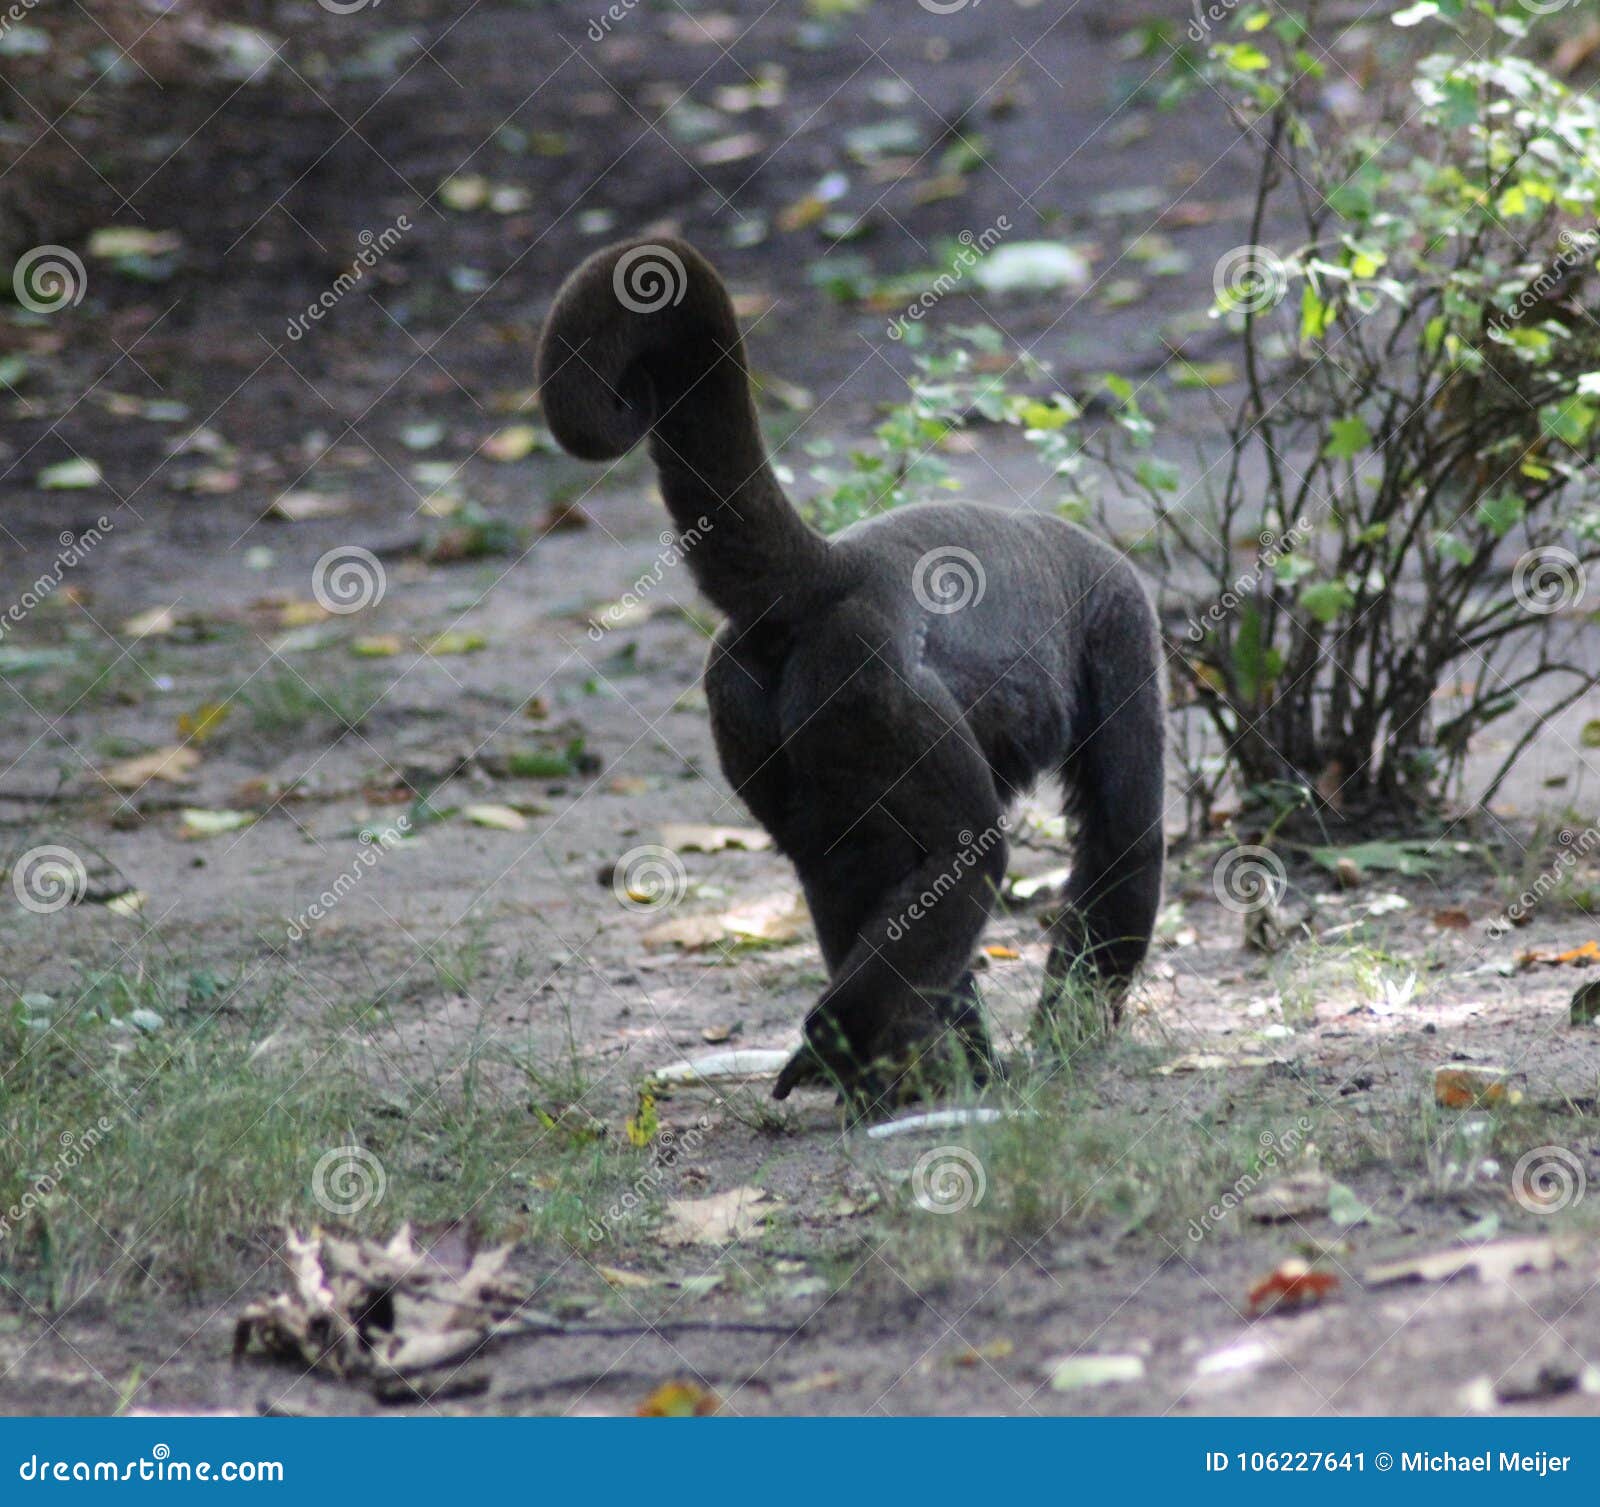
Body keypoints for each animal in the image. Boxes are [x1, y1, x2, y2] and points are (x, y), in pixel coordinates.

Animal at [537, 237, 1166, 1115]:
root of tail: (835, 570)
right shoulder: (1125, 617)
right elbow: (1122, 836)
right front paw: (1066, 1039)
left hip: (741, 698)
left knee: (839, 867)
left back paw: (894, 1064)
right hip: (876, 685)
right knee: (964, 853)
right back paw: (852, 1043)